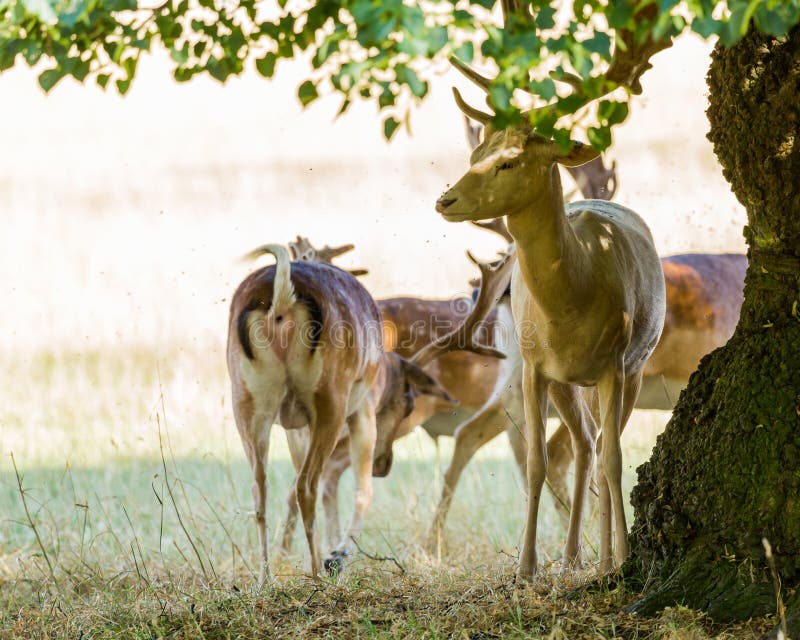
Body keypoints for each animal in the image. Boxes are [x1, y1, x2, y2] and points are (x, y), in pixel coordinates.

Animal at [227, 243, 512, 581]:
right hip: (331, 399)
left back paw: (266, 578)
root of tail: (282, 299)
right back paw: (316, 572)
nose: (384, 464)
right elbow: (363, 492)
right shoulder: (363, 409)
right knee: (306, 485)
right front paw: (336, 555)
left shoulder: (296, 427)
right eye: (407, 404)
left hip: (246, 400)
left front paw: (329, 553)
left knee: (261, 488)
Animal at [435, 55, 667, 578]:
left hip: (637, 366)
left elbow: (615, 458)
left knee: (599, 446)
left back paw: (603, 556)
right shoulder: (534, 368)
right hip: (565, 383)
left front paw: (623, 559)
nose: (445, 200)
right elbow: (537, 461)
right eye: (476, 151)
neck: (571, 308)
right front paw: (526, 567)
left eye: (509, 160)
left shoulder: (616, 363)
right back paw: (572, 554)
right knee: (581, 445)